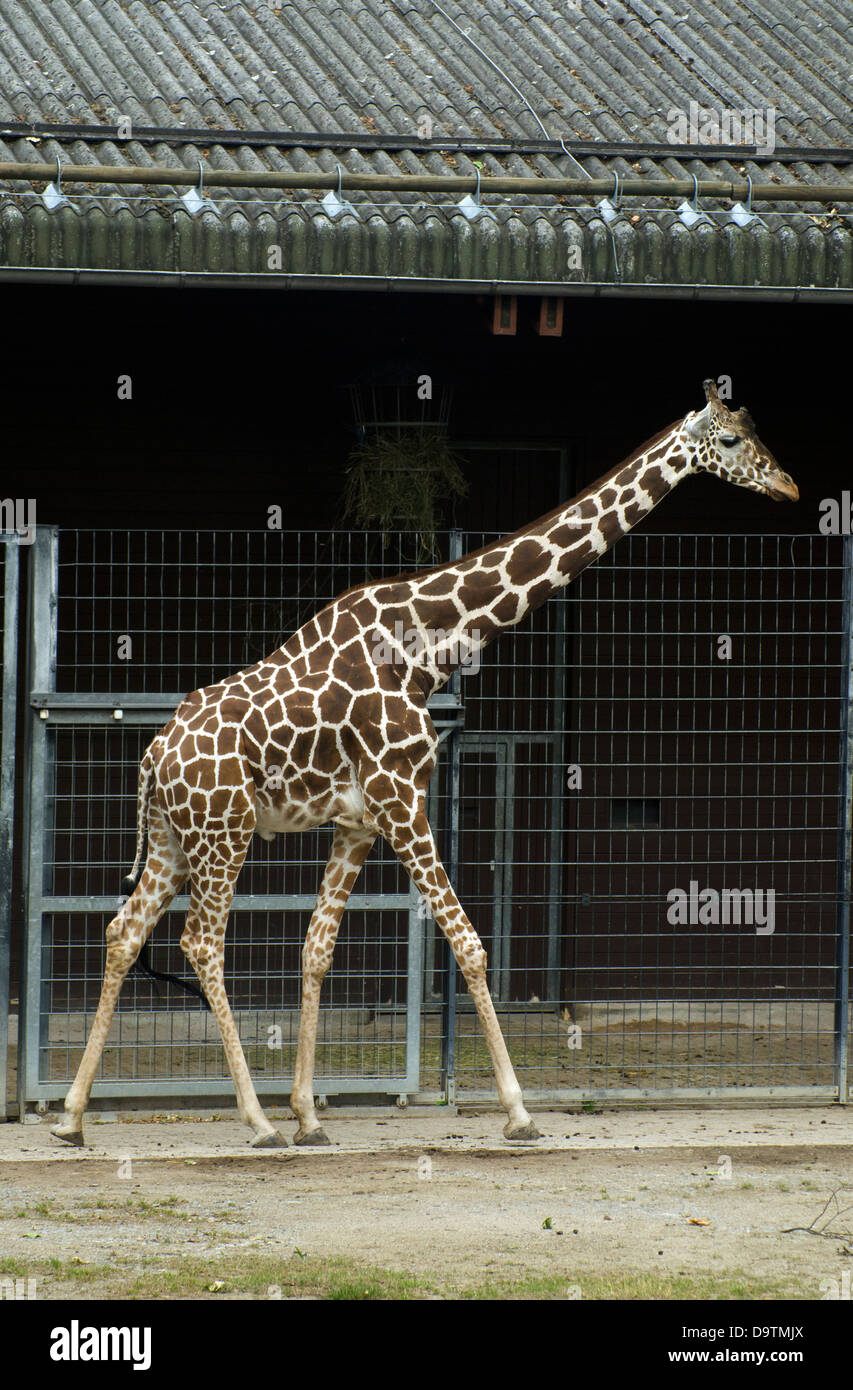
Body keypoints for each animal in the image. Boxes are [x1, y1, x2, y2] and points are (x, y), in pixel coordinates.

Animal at [50, 381, 797, 1148]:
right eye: (732, 440)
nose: (788, 485)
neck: (426, 648)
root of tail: (151, 756)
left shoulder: (360, 821)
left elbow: (317, 948)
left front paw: (309, 1114)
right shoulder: (403, 799)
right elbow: (465, 942)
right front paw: (518, 1112)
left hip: (173, 840)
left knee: (123, 932)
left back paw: (74, 1116)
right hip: (221, 834)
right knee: (200, 943)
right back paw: (254, 1123)